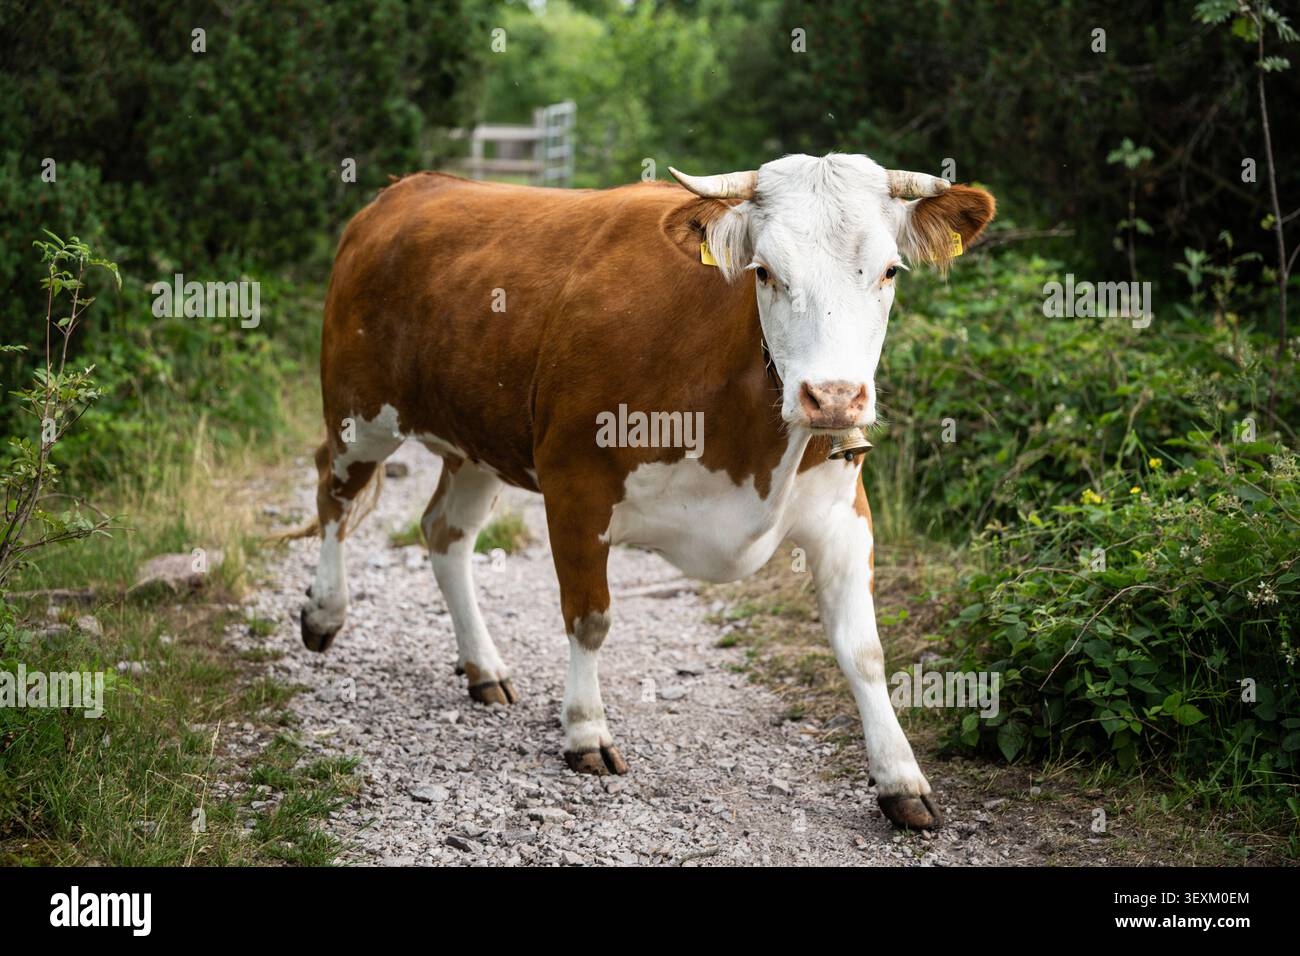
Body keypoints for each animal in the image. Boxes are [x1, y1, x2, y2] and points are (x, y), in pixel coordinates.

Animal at [300, 152, 995, 830]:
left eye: (890, 271)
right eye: (765, 272)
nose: (833, 398)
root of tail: (409, 186)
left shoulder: (841, 513)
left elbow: (864, 651)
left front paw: (901, 780)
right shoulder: (574, 485)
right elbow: (590, 618)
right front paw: (586, 732)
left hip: (475, 439)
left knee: (445, 532)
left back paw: (483, 668)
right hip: (359, 415)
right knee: (333, 494)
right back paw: (324, 612)